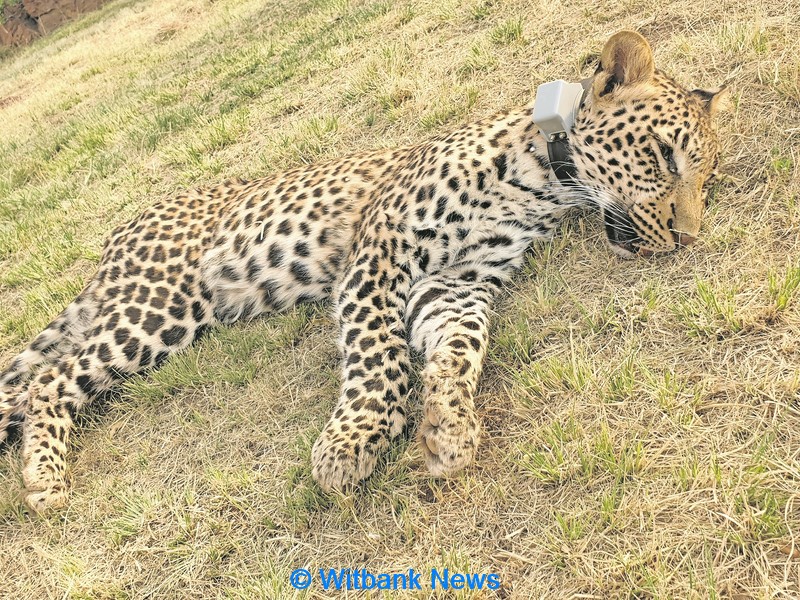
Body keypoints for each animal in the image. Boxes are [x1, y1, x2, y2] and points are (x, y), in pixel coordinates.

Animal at [0, 31, 727, 512]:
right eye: (665, 155)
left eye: (706, 179)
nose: (687, 238)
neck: (544, 179)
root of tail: (119, 234)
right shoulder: (379, 255)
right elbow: (381, 359)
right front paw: (349, 446)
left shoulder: (457, 283)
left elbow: (460, 348)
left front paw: (450, 426)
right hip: (158, 309)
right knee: (48, 380)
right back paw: (44, 478)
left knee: (28, 380)